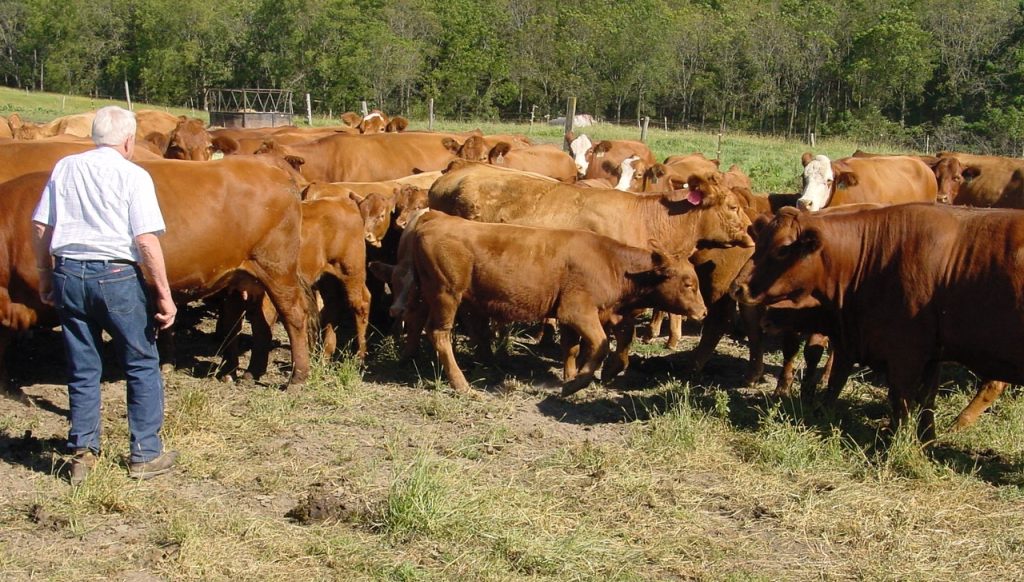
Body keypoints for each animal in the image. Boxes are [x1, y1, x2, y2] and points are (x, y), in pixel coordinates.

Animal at [400, 212, 706, 396]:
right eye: (688, 283)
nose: (703, 312)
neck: (612, 262)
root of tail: (435, 217)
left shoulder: (574, 314)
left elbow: (574, 347)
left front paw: (577, 374)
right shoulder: (577, 311)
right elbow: (600, 344)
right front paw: (576, 383)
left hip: (433, 295)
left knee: (422, 322)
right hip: (446, 295)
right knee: (439, 334)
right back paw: (461, 383)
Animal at [731, 203, 1024, 442]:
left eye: (782, 249)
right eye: (759, 243)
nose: (737, 287)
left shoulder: (906, 354)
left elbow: (901, 401)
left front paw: (896, 443)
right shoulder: (927, 354)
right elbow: (923, 401)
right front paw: (926, 441)